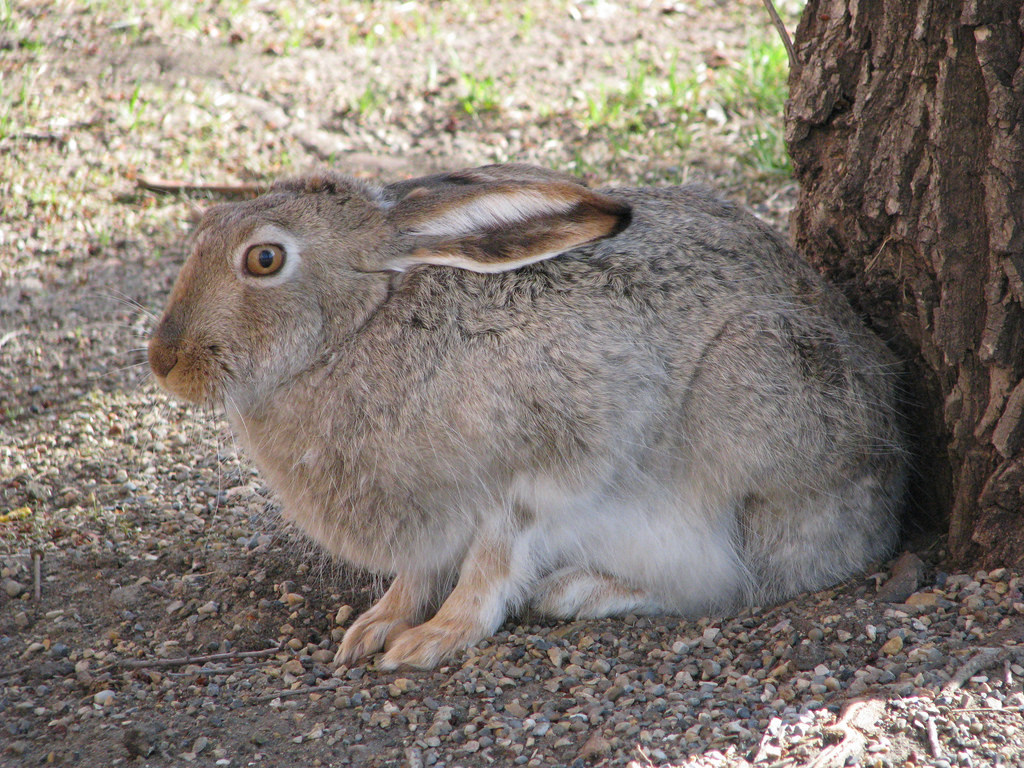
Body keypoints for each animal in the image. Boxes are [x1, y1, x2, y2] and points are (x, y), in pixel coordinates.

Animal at [148, 163, 906, 670]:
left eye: (264, 258)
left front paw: (434, 639)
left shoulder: (545, 463)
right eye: (203, 228)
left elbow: (494, 561)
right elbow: (416, 577)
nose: (162, 360)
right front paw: (375, 626)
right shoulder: (430, 526)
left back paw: (580, 590)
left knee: (738, 581)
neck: (363, 324)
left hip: (759, 408)